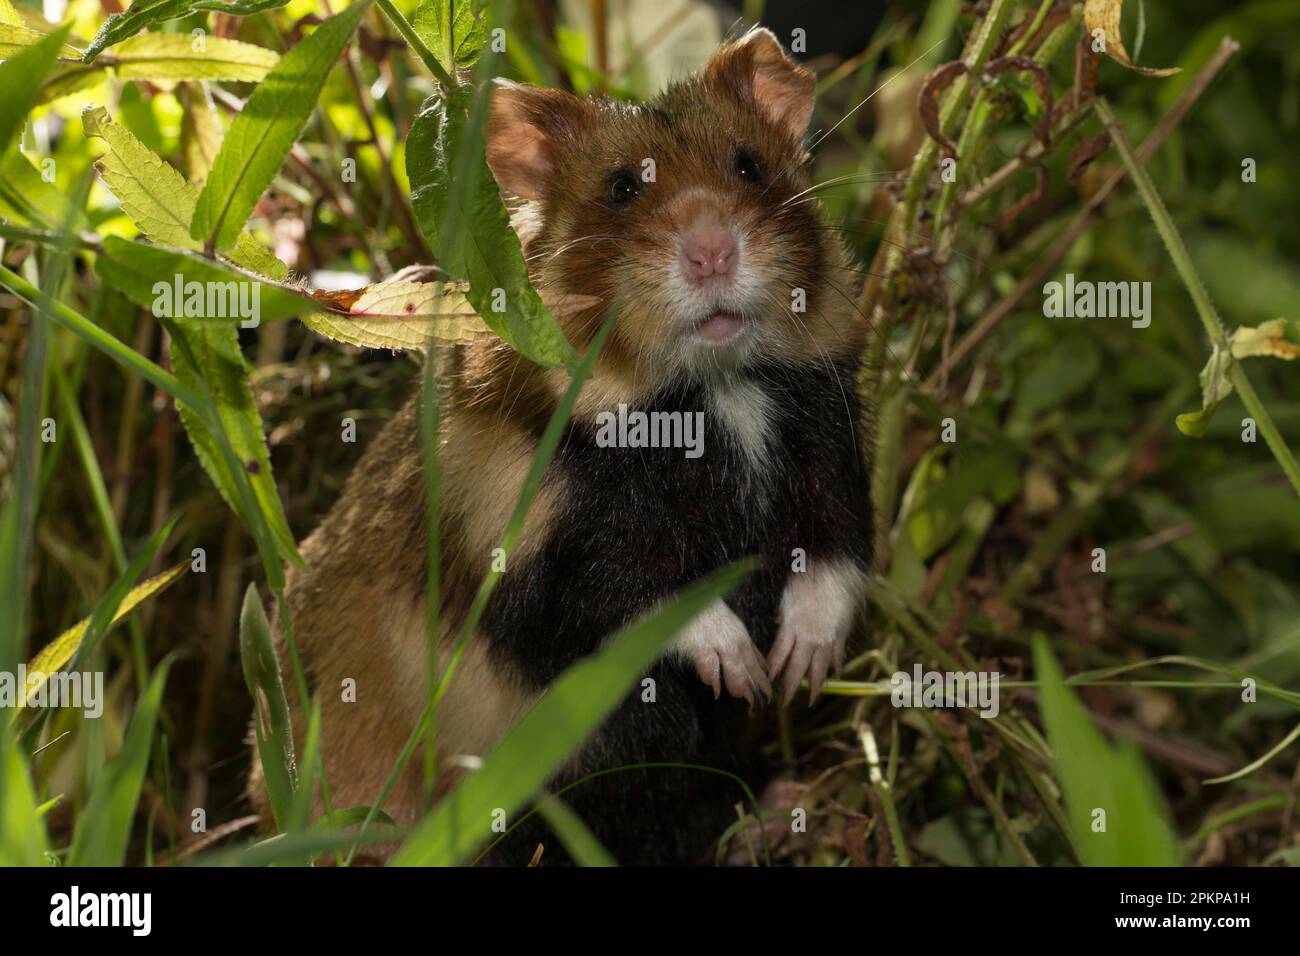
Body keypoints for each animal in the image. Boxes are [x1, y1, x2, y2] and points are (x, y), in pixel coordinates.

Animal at [249, 27, 872, 866]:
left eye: (748, 165)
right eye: (621, 189)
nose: (712, 252)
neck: (716, 393)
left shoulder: (830, 442)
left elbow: (835, 552)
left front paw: (799, 669)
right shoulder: (535, 547)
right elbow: (640, 594)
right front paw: (743, 670)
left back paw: (781, 802)